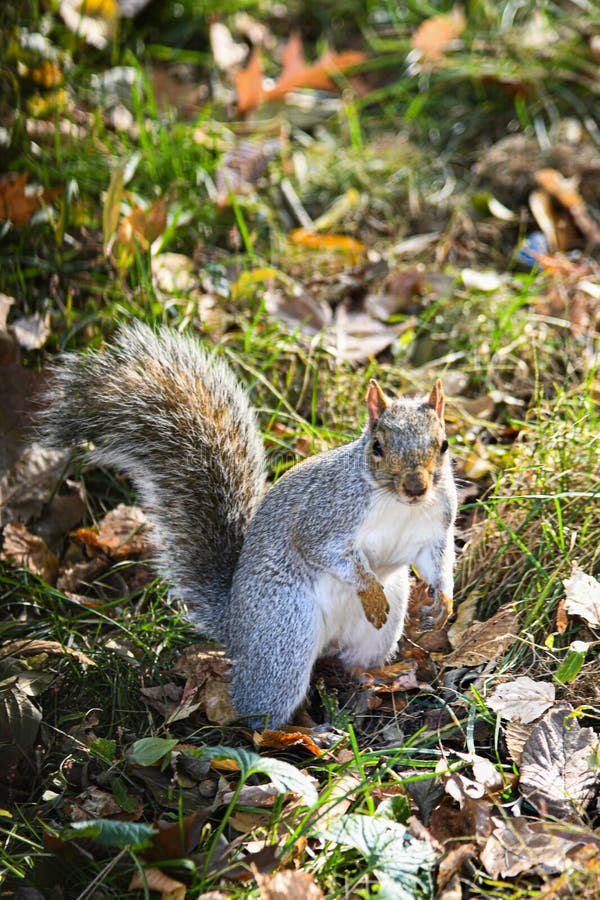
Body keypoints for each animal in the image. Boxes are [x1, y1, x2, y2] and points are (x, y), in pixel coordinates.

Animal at [40, 322, 457, 729]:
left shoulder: (433, 529)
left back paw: (382, 676)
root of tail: (234, 625)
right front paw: (369, 590)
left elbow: (435, 563)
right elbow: (323, 551)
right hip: (284, 633)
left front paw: (443, 601)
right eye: (378, 447)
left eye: (444, 444)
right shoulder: (323, 517)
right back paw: (302, 732)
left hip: (377, 630)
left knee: (352, 666)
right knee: (257, 712)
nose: (416, 487)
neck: (397, 505)